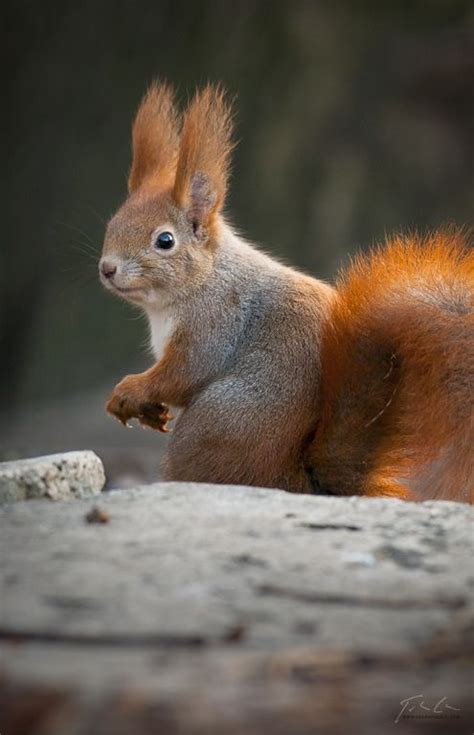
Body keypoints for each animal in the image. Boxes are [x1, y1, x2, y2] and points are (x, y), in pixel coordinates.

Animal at [99, 82, 473, 503]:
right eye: (112, 224)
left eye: (165, 240)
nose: (107, 268)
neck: (198, 284)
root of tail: (299, 483)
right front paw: (146, 410)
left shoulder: (215, 324)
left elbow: (184, 373)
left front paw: (129, 390)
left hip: (218, 419)